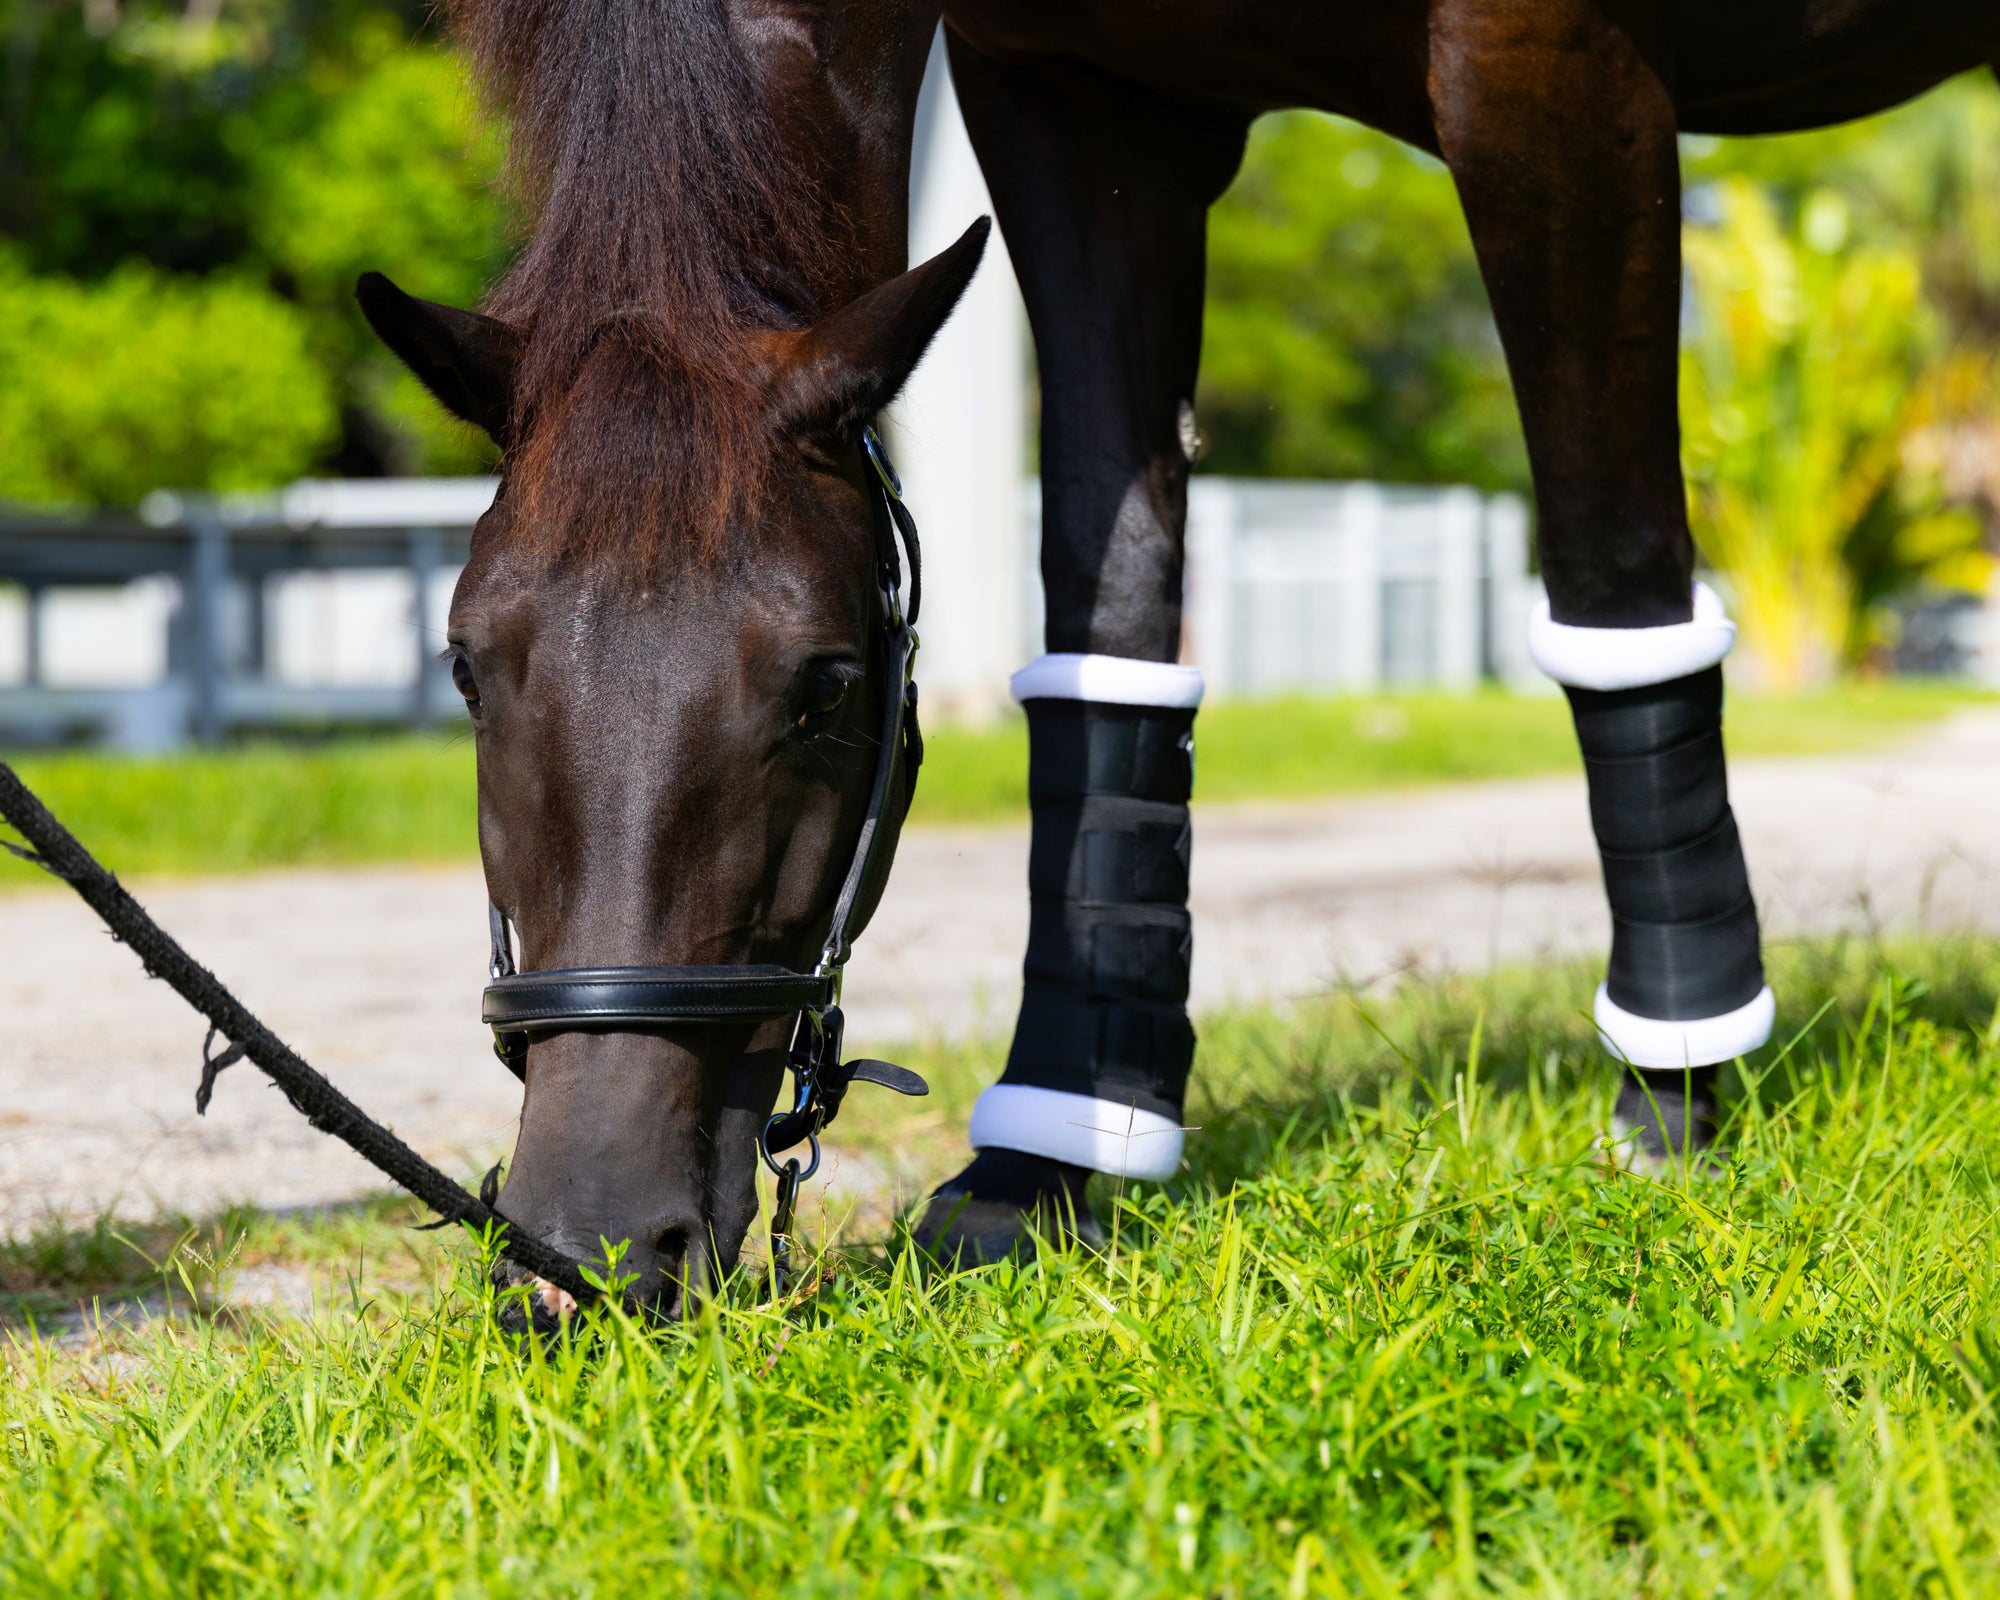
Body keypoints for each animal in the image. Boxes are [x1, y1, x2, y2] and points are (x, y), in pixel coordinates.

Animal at [358, 0, 2000, 1313]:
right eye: (466, 666)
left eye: (827, 682)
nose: (583, 1253)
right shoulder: (1082, 103)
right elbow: (1111, 612)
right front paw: (1052, 1146)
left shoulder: (1550, 71)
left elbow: (1614, 565)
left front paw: (1672, 1093)